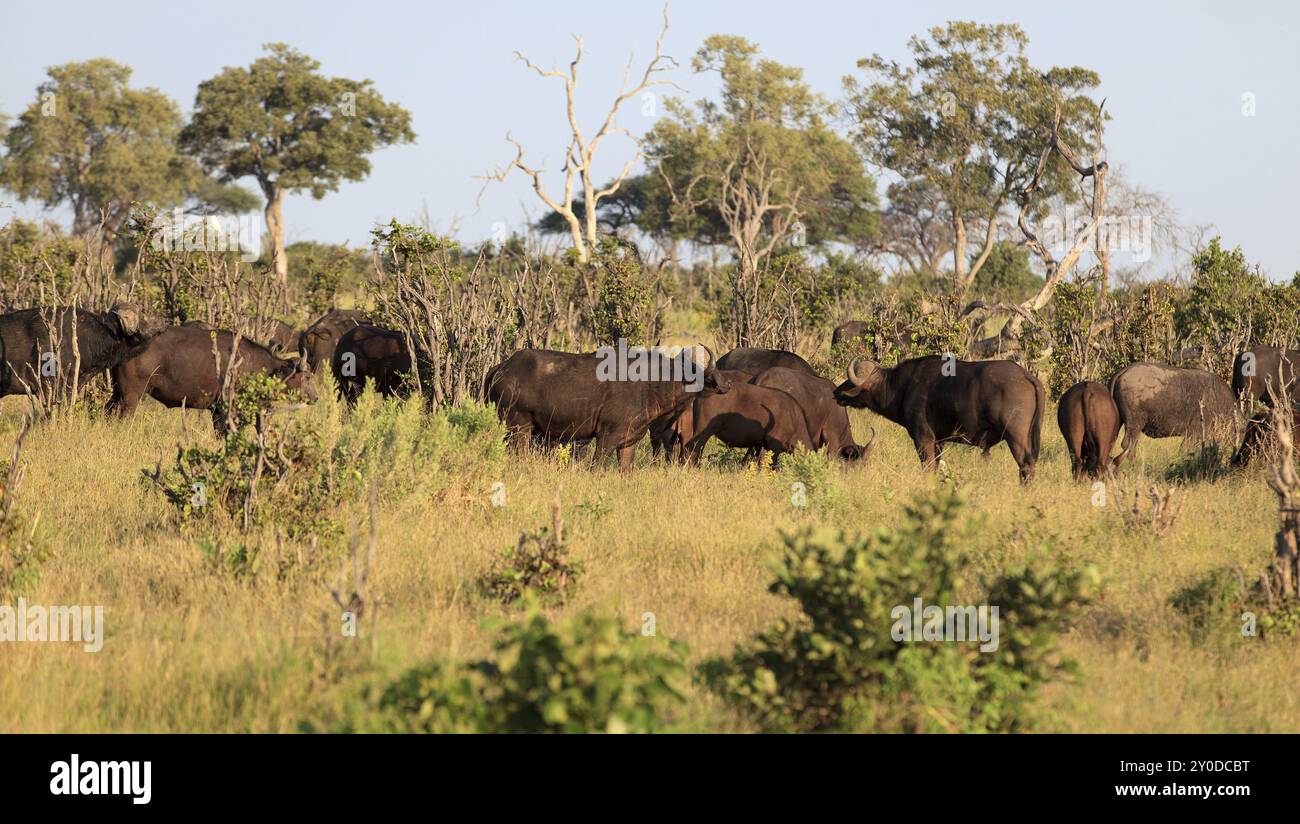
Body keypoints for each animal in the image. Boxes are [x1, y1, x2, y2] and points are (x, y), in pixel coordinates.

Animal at [110, 324, 315, 428]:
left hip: (117, 393)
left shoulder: (216, 411)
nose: (316, 397)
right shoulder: (226, 410)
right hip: (131, 397)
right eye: (307, 377)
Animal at [485, 344, 729, 470]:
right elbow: (597, 467)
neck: (650, 384)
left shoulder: (628, 442)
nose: (726, 384)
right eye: (703, 372)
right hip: (518, 427)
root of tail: (502, 367)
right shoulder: (607, 436)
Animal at [833, 355, 1045, 482]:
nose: (836, 392)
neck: (902, 387)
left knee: (1026, 465)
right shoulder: (939, 441)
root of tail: (1027, 376)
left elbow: (927, 466)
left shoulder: (923, 438)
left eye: (851, 380)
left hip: (1016, 437)